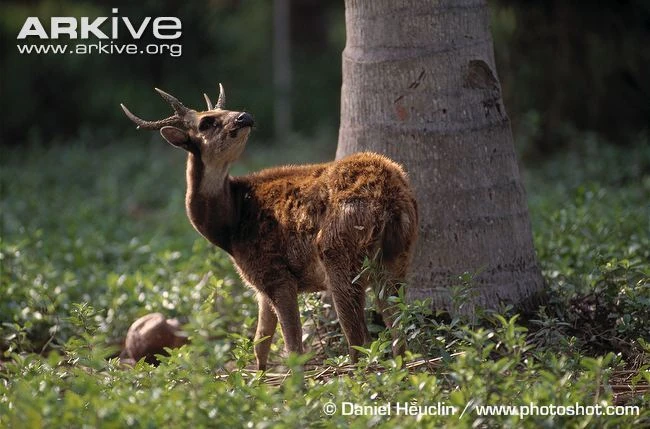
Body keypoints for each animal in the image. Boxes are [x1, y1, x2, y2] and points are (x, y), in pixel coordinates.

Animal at [121, 85, 418, 370]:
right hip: (398, 255)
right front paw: (258, 377)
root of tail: (390, 196)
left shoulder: (274, 272)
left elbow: (293, 348)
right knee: (398, 327)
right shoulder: (262, 286)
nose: (244, 116)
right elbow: (260, 342)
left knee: (360, 339)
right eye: (206, 122)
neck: (231, 227)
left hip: (339, 252)